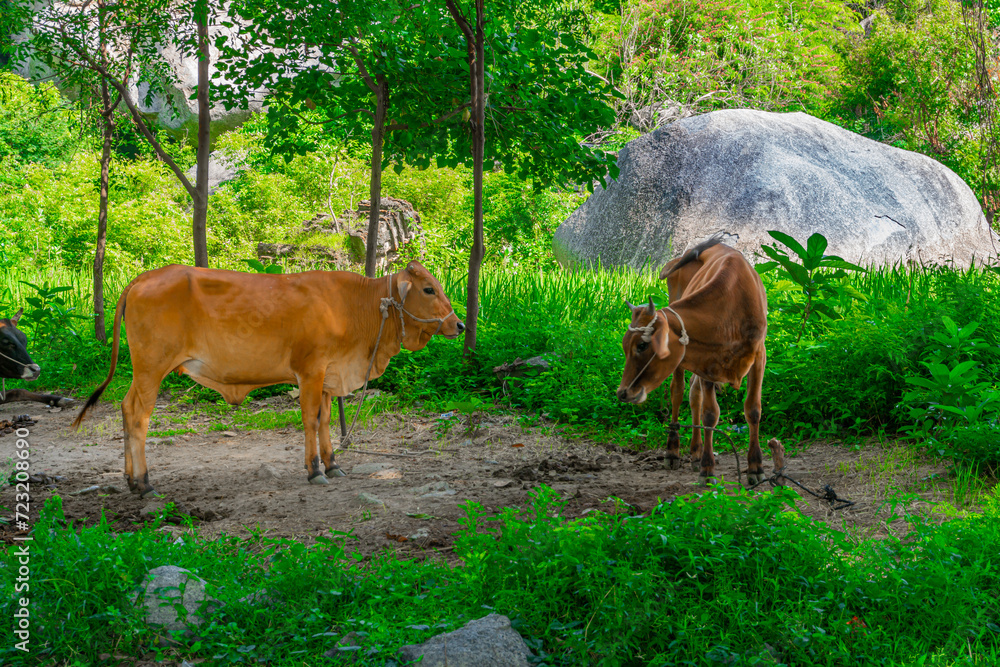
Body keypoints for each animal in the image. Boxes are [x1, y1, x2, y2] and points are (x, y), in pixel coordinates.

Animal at [72, 261, 464, 498]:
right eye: (428, 289)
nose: (459, 324)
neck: (355, 306)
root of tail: (143, 278)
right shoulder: (310, 370)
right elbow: (311, 420)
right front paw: (315, 470)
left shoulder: (327, 375)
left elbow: (325, 421)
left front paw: (334, 464)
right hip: (152, 368)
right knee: (139, 416)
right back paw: (144, 483)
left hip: (143, 371)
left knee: (126, 409)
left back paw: (129, 480)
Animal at [617, 237, 768, 485]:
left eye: (642, 345)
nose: (623, 393)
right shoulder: (708, 362)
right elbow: (710, 414)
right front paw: (707, 468)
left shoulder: (758, 355)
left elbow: (753, 410)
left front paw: (756, 466)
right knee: (678, 392)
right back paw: (674, 451)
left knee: (694, 394)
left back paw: (696, 451)